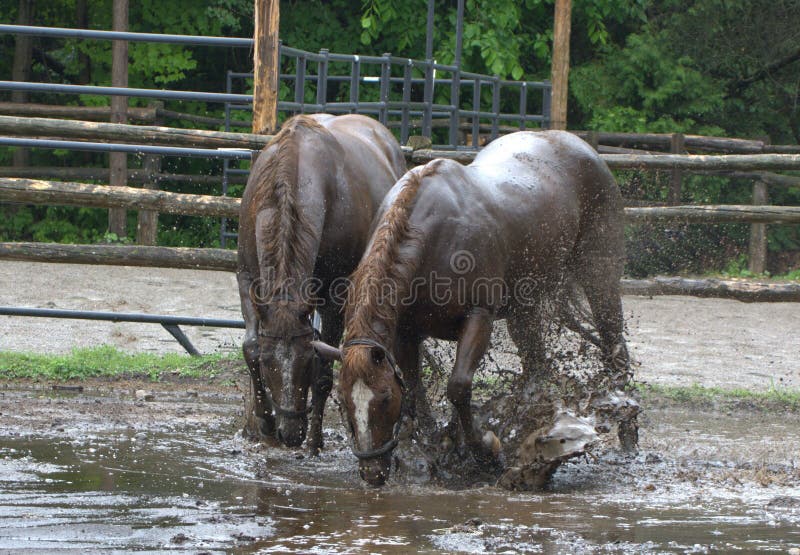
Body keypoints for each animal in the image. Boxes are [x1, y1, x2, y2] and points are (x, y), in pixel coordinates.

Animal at [237, 113, 406, 453]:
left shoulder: (334, 298)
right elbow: (250, 346)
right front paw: (264, 420)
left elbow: (325, 371)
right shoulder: (247, 280)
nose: (290, 433)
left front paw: (314, 442)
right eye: (269, 363)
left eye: (305, 363)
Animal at [311, 130, 631, 485]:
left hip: (598, 278)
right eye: (343, 403)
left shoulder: (479, 318)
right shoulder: (406, 333)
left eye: (383, 398)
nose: (372, 472)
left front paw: (484, 451)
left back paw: (625, 429)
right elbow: (416, 394)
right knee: (537, 369)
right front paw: (432, 451)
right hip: (524, 311)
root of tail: (583, 147)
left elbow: (459, 387)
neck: (433, 238)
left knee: (614, 346)